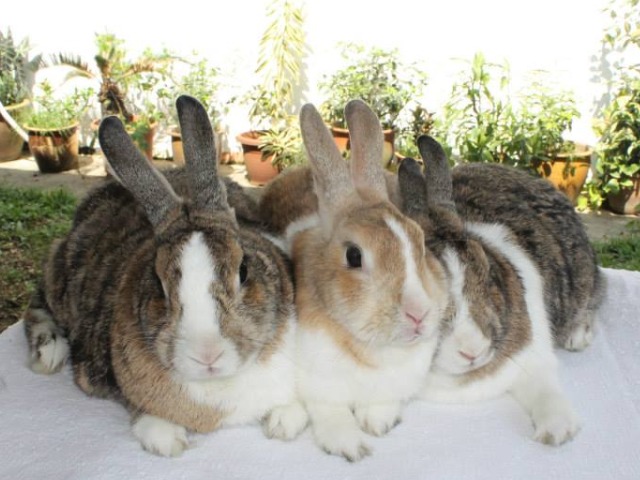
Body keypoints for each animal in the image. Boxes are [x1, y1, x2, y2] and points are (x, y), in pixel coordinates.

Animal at [22, 95, 308, 458]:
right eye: (159, 284)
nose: (207, 354)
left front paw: (284, 421)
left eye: (243, 270)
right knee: (36, 302)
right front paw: (166, 439)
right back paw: (49, 352)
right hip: (59, 274)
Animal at [281, 100, 450, 462]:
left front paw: (377, 423)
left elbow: (382, 402)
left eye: (421, 242)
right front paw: (350, 445)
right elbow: (331, 412)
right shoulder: (320, 385)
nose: (418, 314)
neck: (374, 350)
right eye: (354, 256)